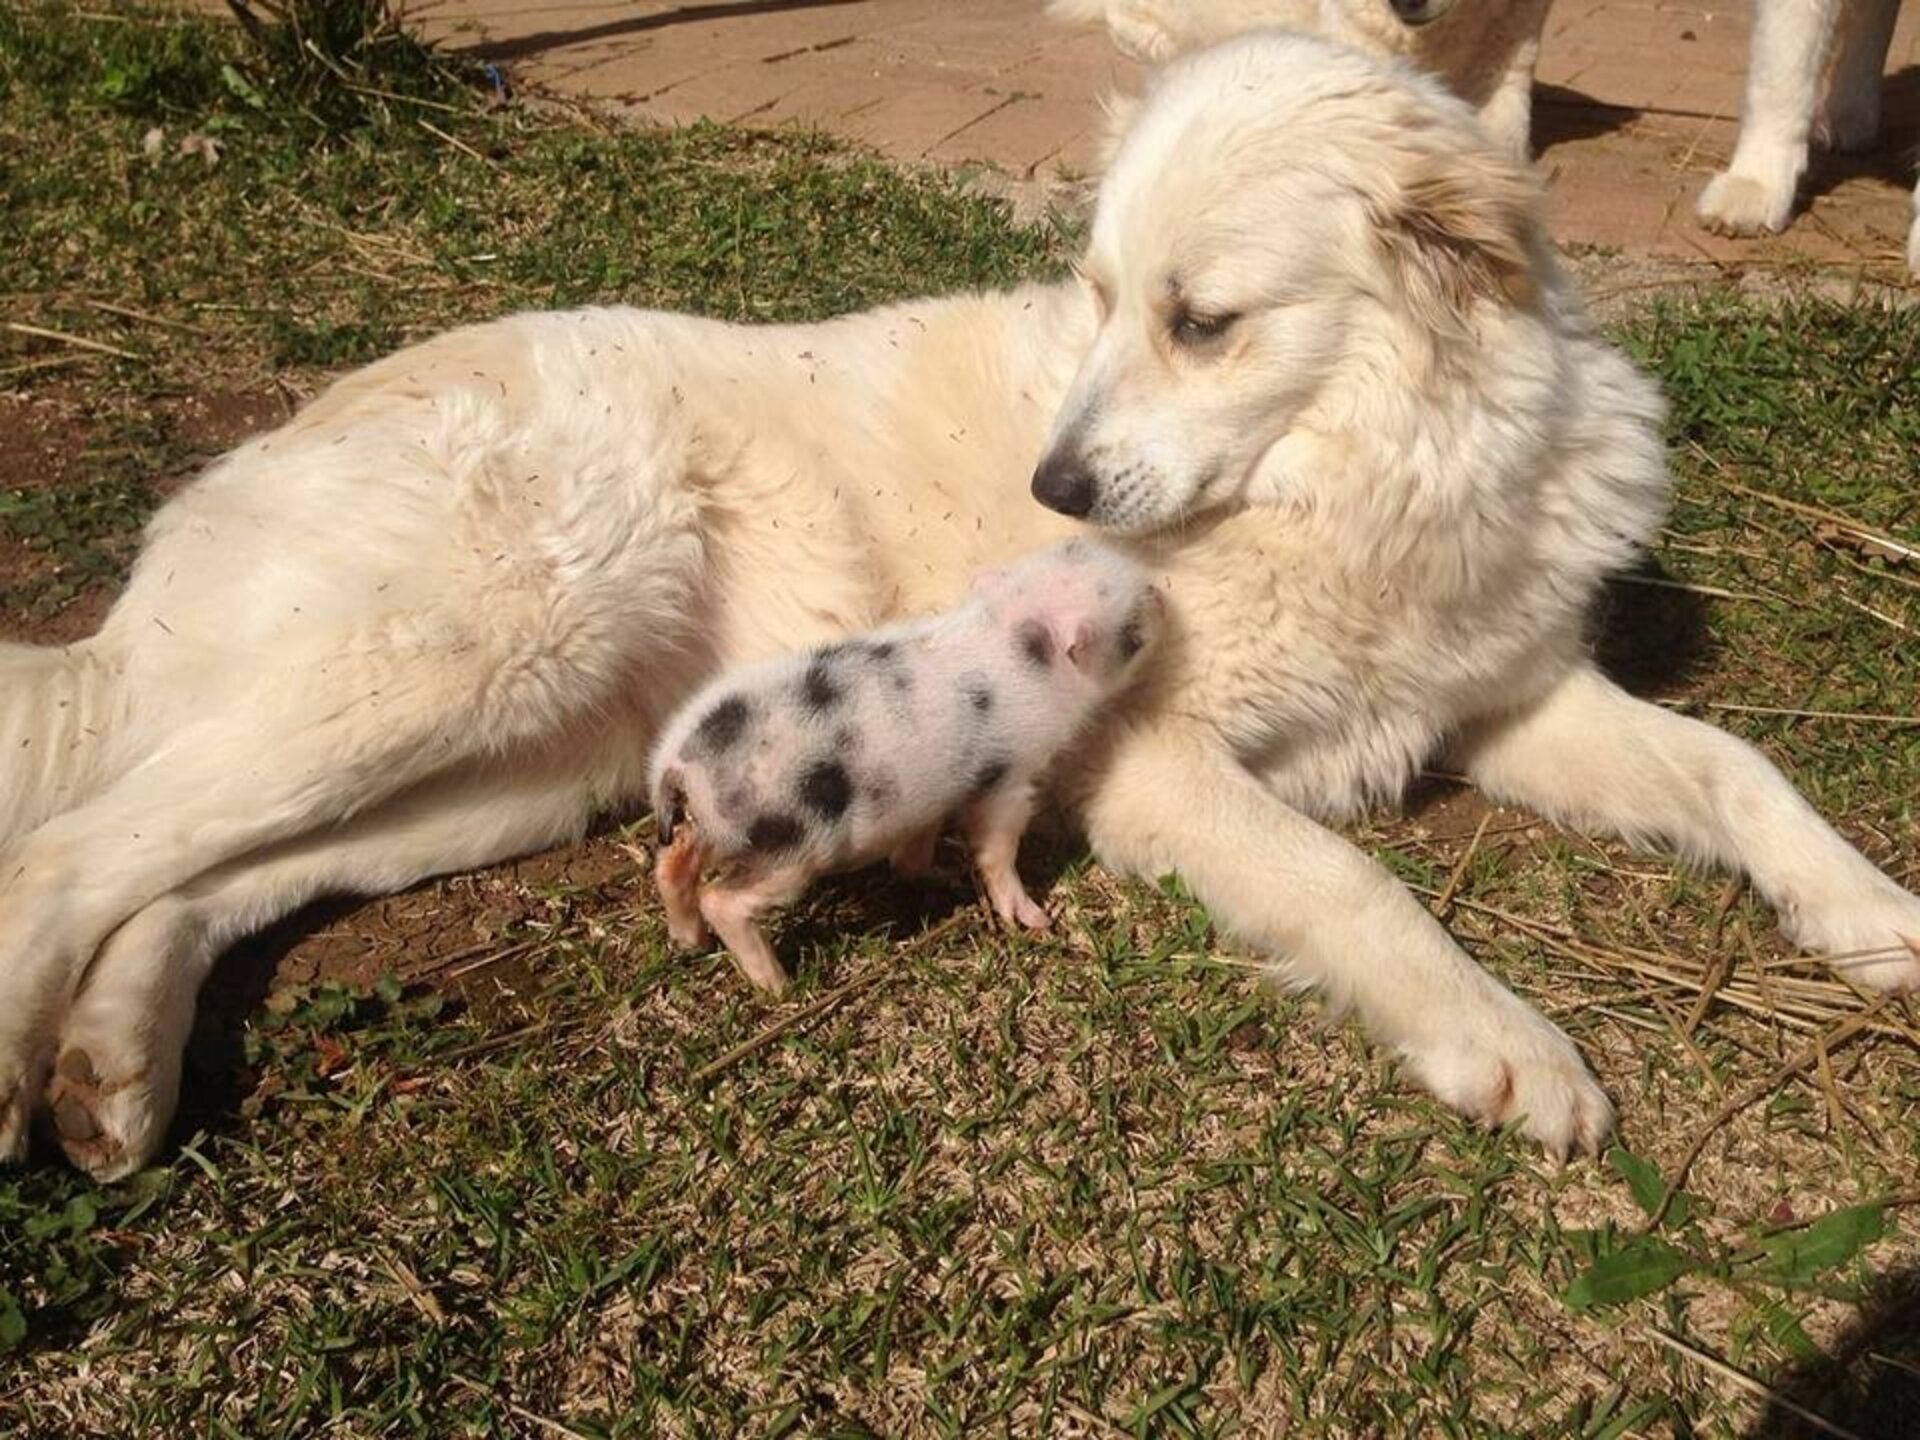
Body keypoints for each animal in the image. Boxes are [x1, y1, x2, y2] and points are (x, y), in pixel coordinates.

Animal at [647, 539, 1164, 994]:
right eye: (1134, 629)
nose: (1160, 590)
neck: (1008, 636)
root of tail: (678, 761)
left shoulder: (930, 799)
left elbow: (917, 845)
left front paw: (934, 874)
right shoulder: (1010, 776)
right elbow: (996, 848)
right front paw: (1034, 919)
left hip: (714, 828)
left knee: (671, 863)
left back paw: (689, 941)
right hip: (788, 846)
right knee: (722, 899)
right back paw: (780, 985)